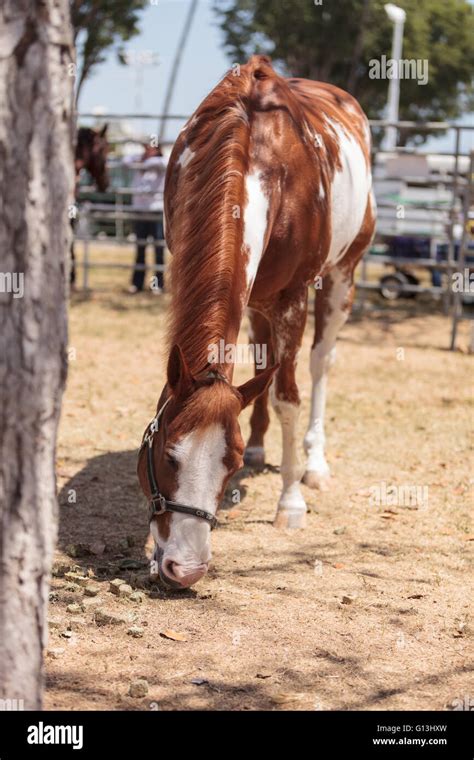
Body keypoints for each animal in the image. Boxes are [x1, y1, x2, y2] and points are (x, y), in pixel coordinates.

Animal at [137, 55, 376, 589]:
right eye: (167, 455)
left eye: (227, 467)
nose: (186, 569)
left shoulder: (293, 297)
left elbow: (289, 396)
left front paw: (291, 503)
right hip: (257, 300)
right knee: (262, 358)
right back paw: (266, 446)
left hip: (341, 277)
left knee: (319, 363)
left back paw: (313, 463)